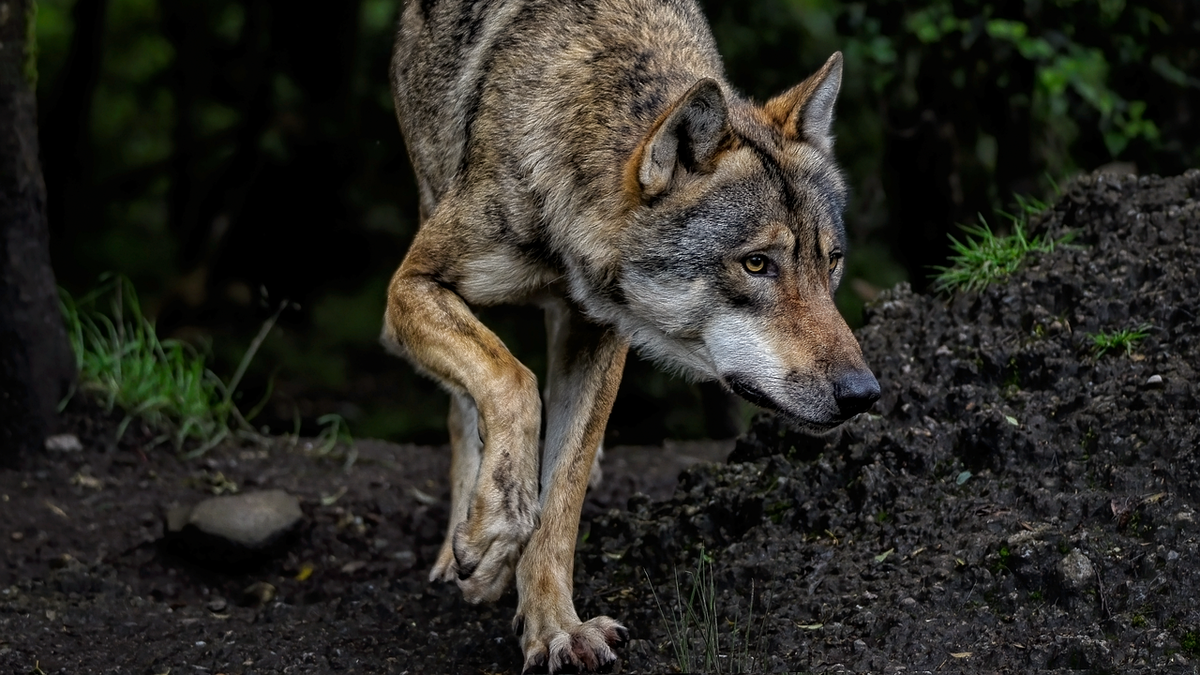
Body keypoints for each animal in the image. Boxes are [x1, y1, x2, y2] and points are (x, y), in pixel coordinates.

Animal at [382, 0, 880, 671]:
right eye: (757, 265)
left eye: (831, 263)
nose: (863, 394)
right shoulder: (409, 289)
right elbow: (512, 381)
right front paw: (493, 532)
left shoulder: (599, 329)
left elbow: (562, 495)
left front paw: (554, 627)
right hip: (430, 201)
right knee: (468, 406)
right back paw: (463, 541)